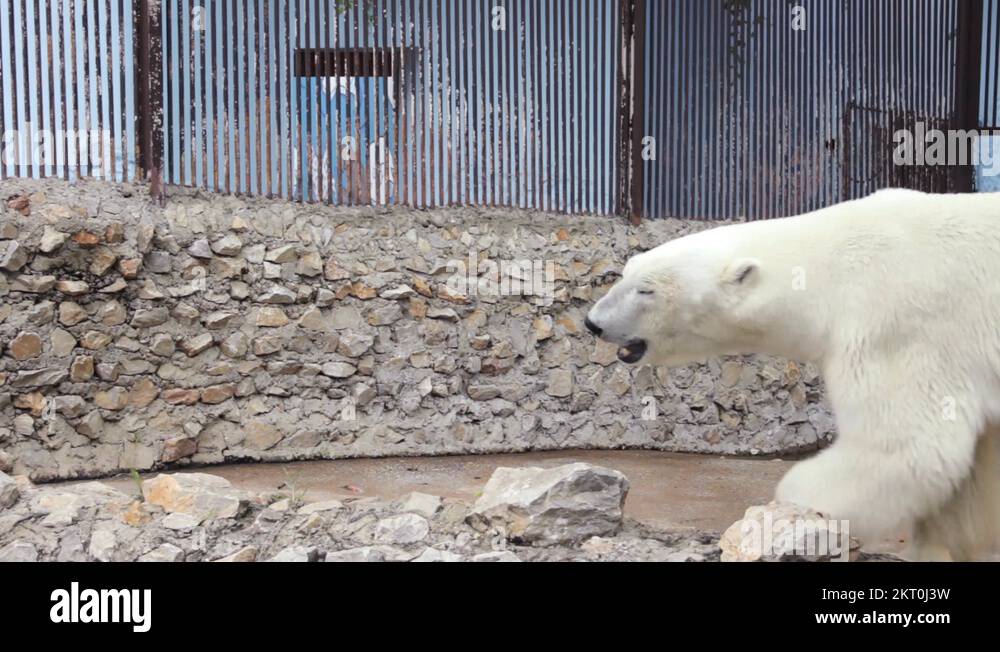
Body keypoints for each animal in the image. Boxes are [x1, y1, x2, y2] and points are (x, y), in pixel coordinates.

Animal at [585, 188, 1000, 561]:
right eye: (626, 272)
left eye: (646, 290)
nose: (593, 323)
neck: (833, 268)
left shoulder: (899, 325)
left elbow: (906, 446)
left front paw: (794, 502)